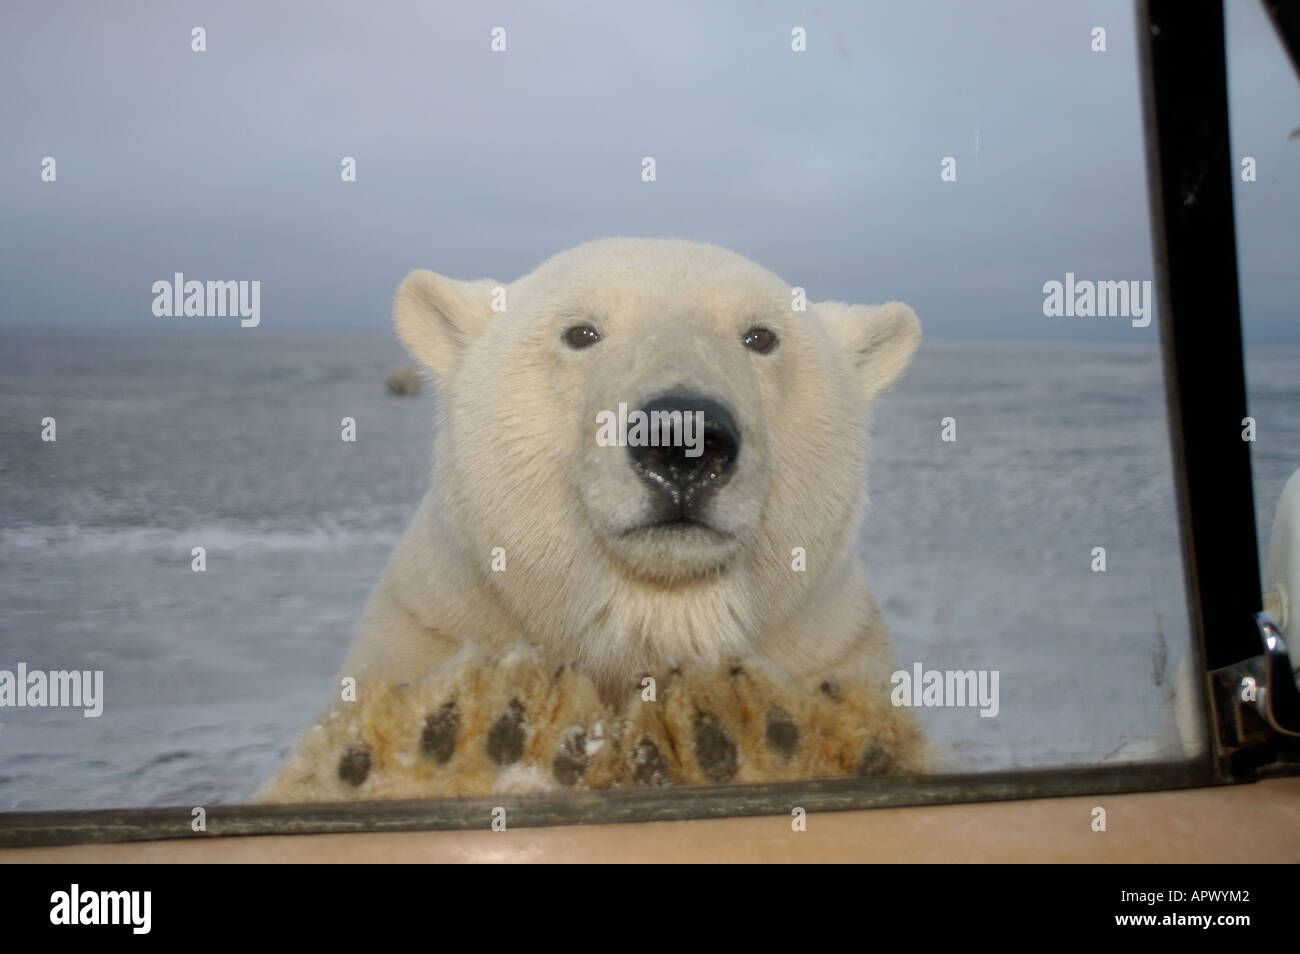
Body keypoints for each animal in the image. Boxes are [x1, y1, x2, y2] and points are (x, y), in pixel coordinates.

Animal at [261, 237, 923, 801]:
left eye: (761, 336)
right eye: (581, 332)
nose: (682, 441)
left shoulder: (835, 644)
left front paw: (766, 734)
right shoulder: (428, 624)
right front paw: (458, 741)